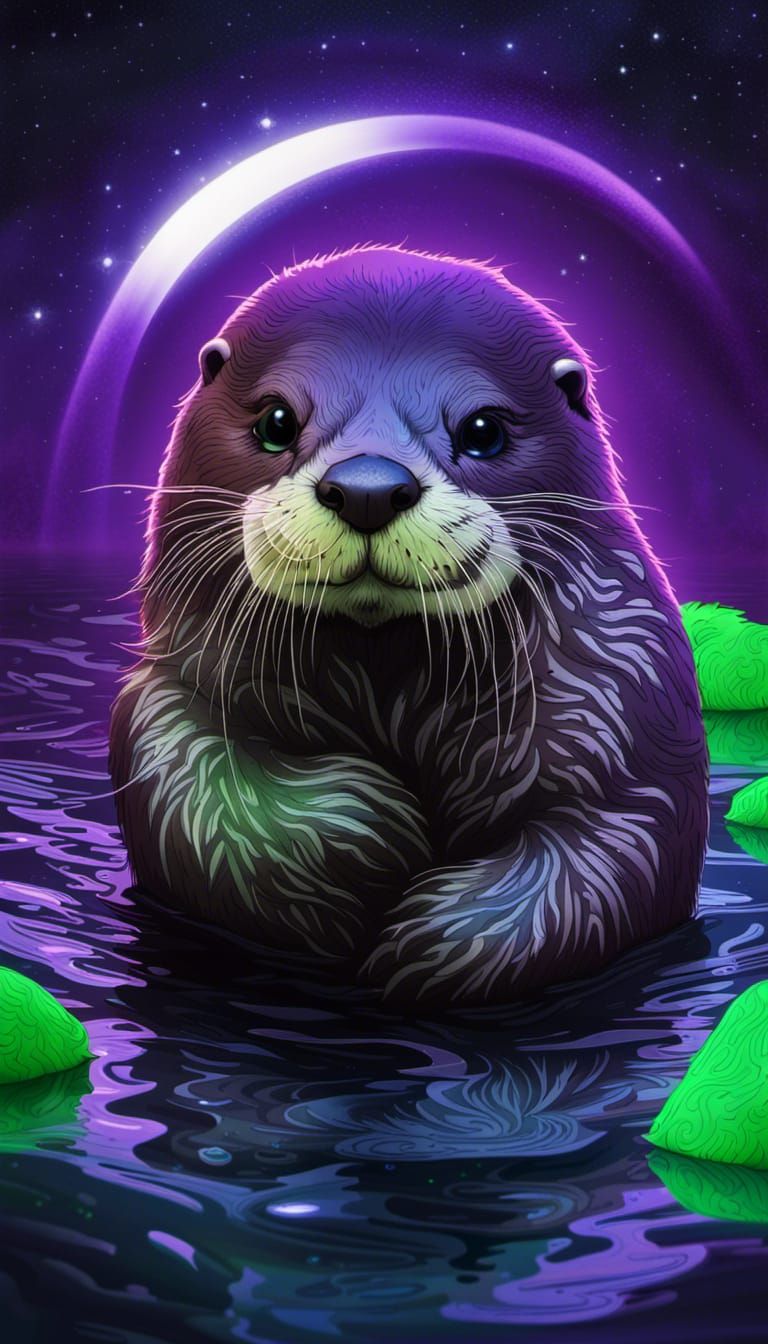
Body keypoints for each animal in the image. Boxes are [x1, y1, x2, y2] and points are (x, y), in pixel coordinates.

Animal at [109, 245, 709, 1008]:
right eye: (277, 421)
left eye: (482, 430)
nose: (367, 486)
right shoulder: (174, 680)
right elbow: (195, 780)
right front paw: (370, 834)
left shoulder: (619, 689)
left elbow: (621, 836)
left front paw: (428, 943)